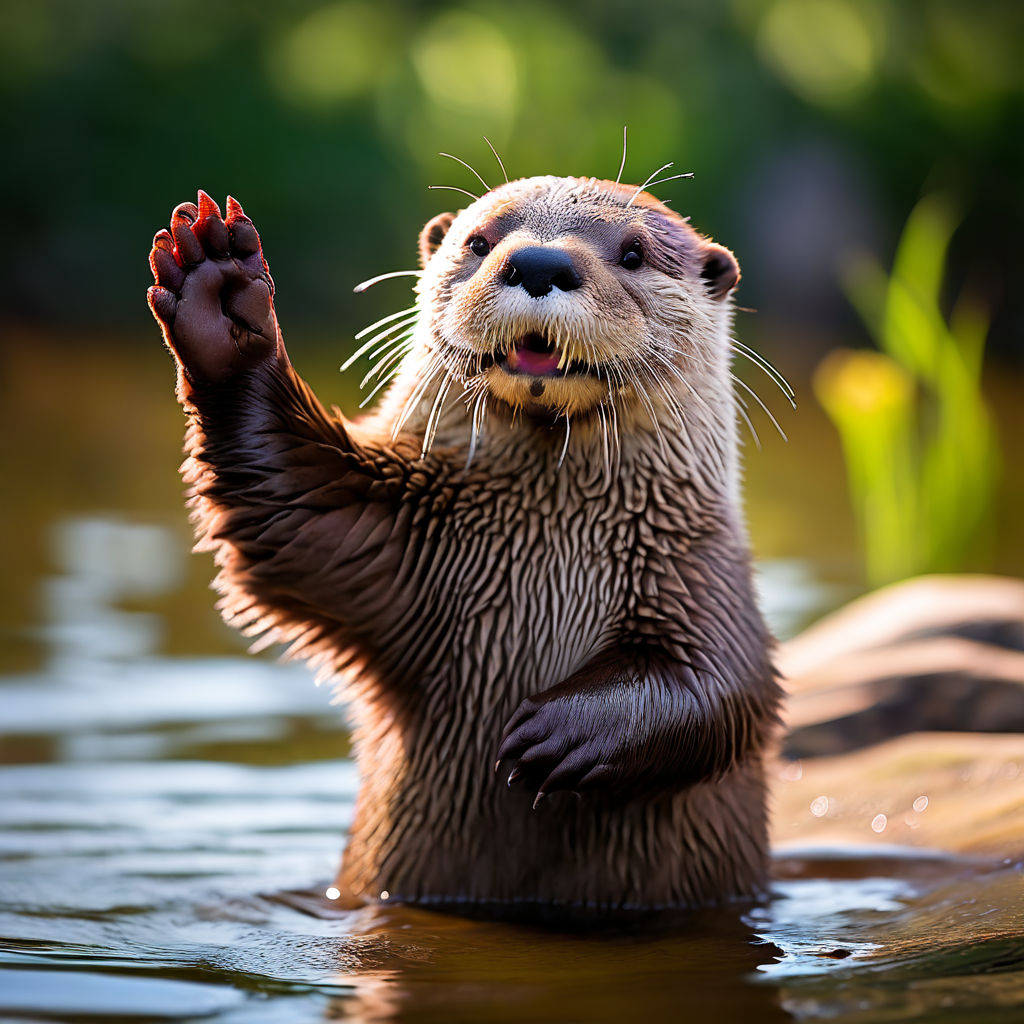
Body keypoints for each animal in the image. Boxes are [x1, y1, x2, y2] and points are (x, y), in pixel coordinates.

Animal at [146, 174, 781, 912]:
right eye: (479, 241)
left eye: (633, 253)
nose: (538, 263)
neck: (547, 542)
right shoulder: (382, 522)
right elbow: (284, 511)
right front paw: (218, 299)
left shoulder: (700, 572)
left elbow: (726, 686)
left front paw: (558, 735)